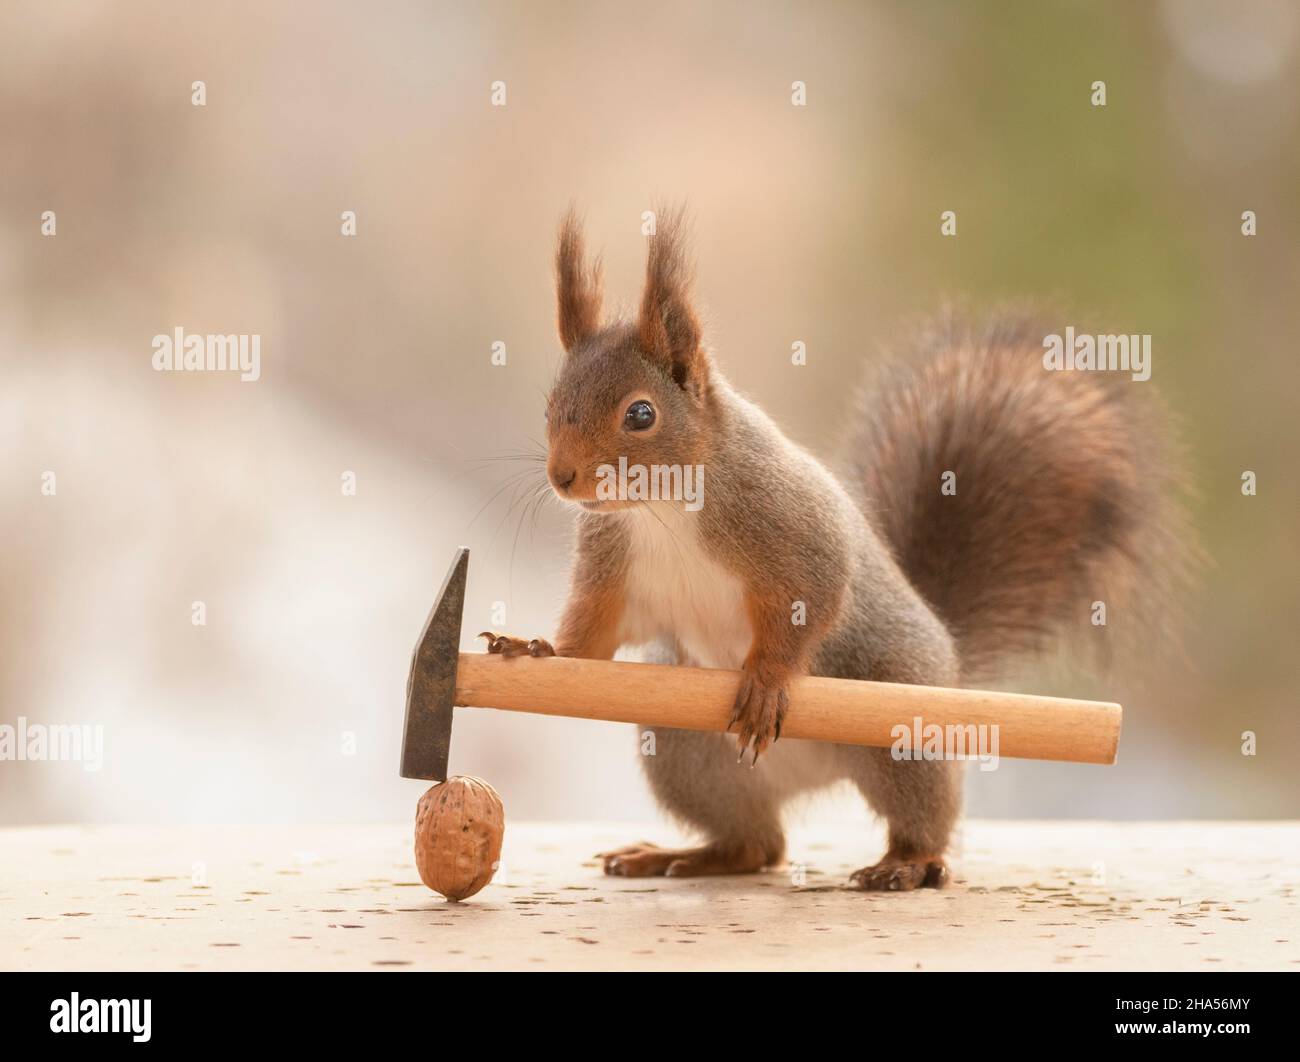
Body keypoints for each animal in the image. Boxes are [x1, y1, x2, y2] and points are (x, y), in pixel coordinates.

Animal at [481, 207, 1187, 890]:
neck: (662, 511)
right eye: (551, 407)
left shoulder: (792, 526)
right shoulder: (614, 568)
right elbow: (594, 637)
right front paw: (539, 649)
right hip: (684, 747)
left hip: (901, 716)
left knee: (923, 817)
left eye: (640, 415)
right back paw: (685, 856)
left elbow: (815, 593)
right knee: (759, 845)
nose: (563, 478)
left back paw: (906, 863)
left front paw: (767, 680)